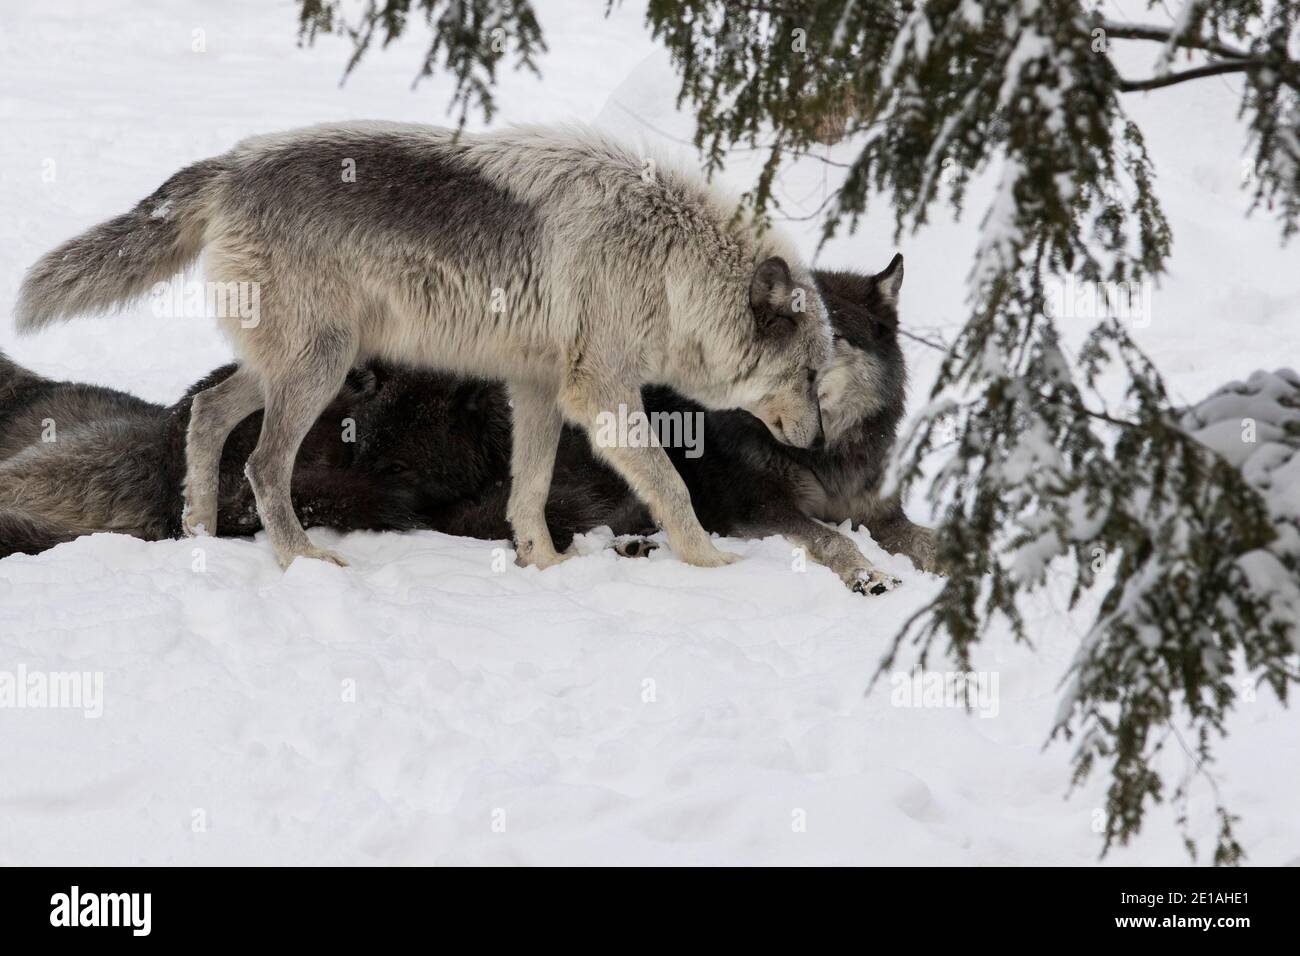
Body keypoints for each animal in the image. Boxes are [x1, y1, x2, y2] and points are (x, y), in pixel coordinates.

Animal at [16, 122, 832, 572]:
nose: (820, 445)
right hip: (320, 370)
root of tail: (233, 165)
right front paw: (710, 560)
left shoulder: (538, 389)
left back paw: (201, 532)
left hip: (300, 366)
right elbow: (671, 485)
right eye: (811, 376)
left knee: (208, 413)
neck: (668, 264)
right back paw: (301, 559)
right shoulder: (599, 392)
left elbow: (530, 491)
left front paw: (545, 562)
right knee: (261, 463)